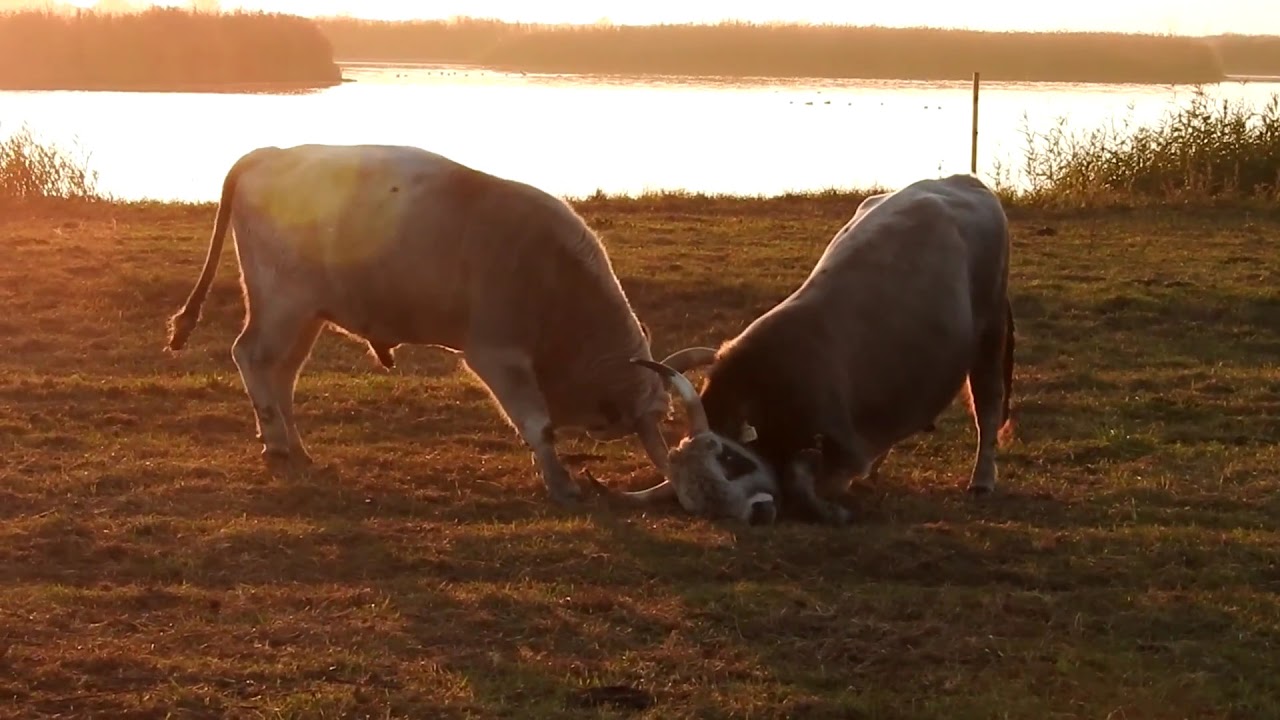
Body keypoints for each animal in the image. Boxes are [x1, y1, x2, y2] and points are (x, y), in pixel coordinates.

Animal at [164, 143, 676, 506]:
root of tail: (270, 153)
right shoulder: (497, 354)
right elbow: (538, 424)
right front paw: (561, 484)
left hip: (305, 314)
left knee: (282, 373)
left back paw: (295, 445)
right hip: (281, 303)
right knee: (251, 358)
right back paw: (276, 445)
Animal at [593, 174, 1016, 525]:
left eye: (729, 458)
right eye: (697, 501)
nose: (759, 512)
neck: (766, 386)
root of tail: (962, 182)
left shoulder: (842, 445)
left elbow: (801, 475)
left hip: (990, 333)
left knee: (988, 404)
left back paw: (982, 480)